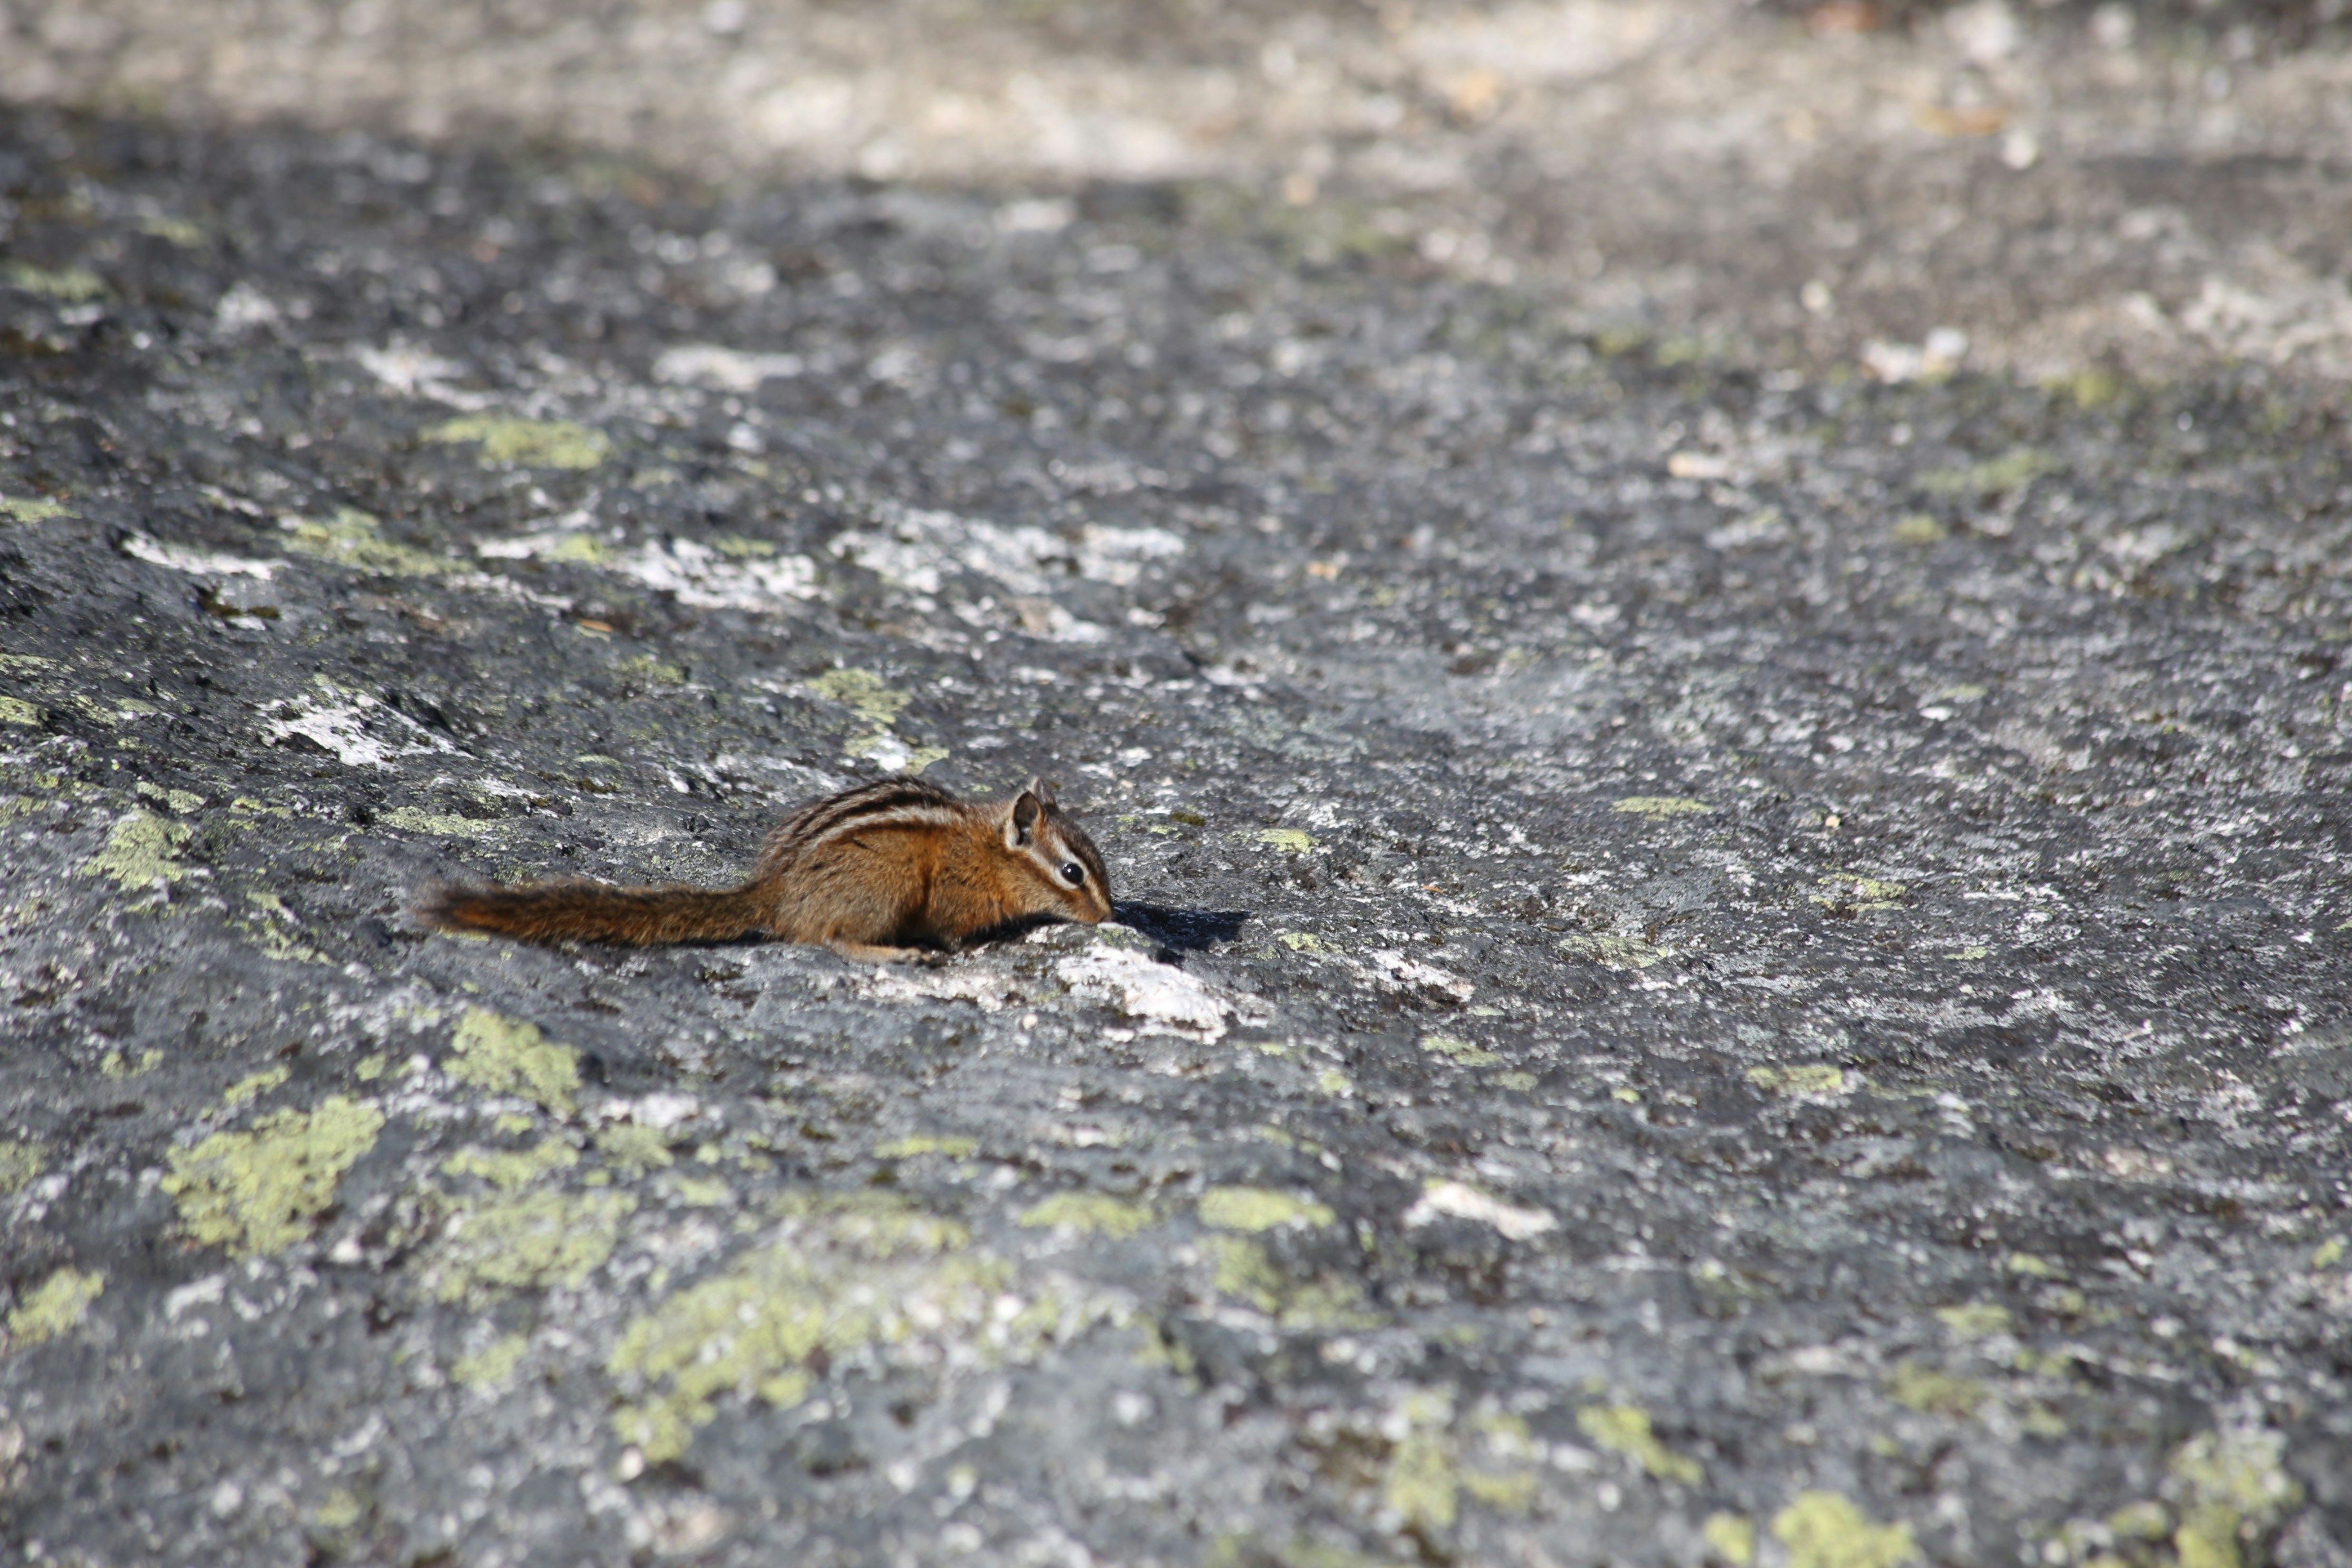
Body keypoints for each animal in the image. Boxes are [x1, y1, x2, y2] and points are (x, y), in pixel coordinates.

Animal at [417, 775, 1112, 962]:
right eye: (1073, 873)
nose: (1108, 916)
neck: (992, 854)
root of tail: (775, 893)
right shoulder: (949, 895)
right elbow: (949, 928)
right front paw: (961, 946)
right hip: (884, 885)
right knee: (827, 938)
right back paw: (890, 953)